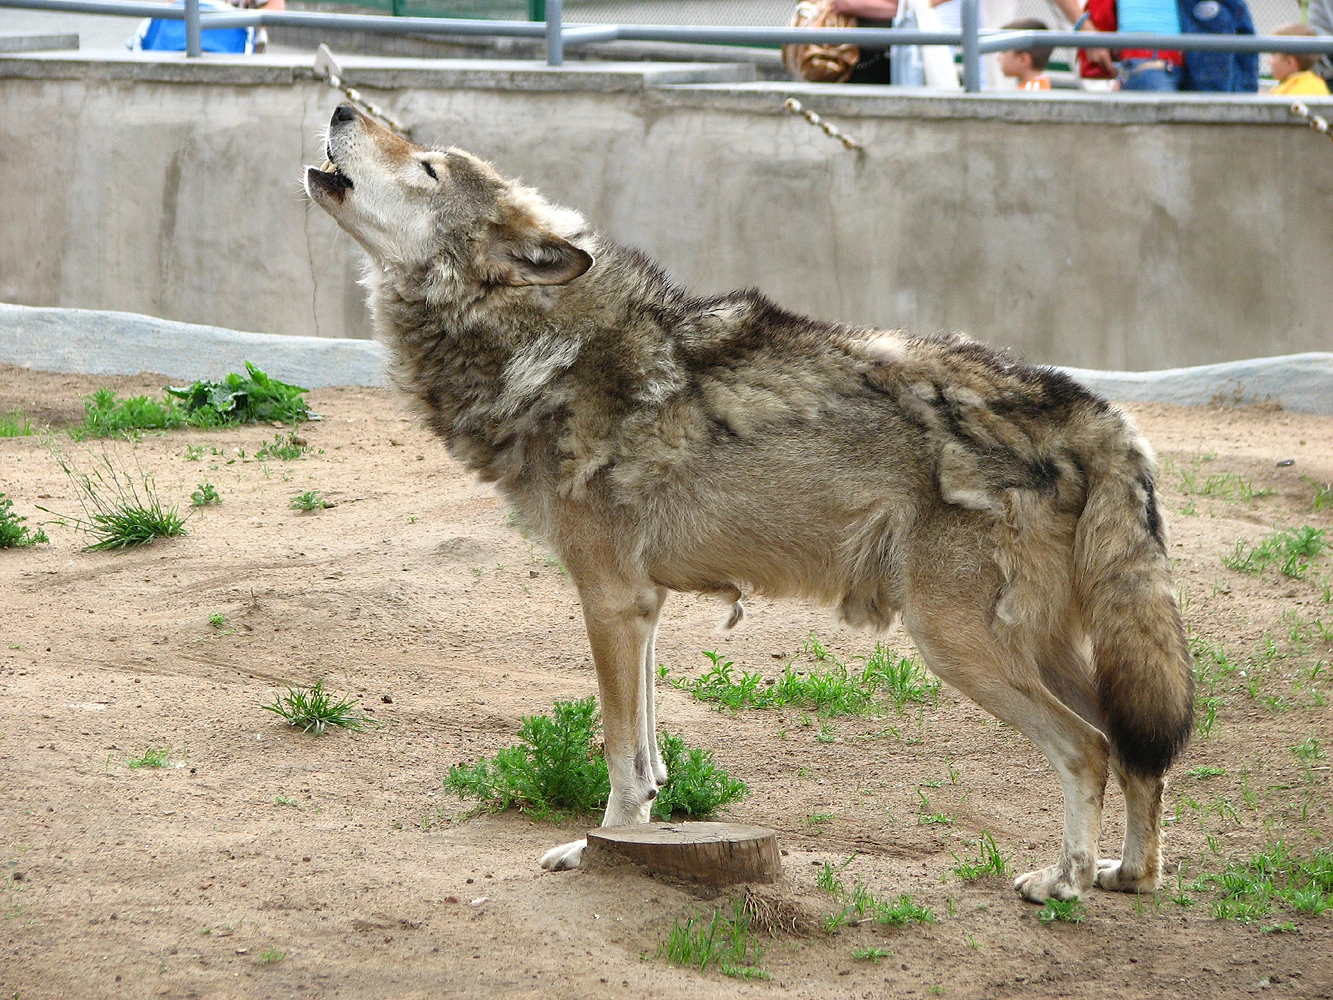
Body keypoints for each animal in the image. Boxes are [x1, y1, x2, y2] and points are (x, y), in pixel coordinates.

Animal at [305, 104, 1194, 903]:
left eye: (426, 166)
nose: (342, 105)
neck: (545, 347)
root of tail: (1096, 411)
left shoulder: (610, 598)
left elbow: (618, 757)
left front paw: (599, 854)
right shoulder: (643, 606)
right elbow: (650, 757)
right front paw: (622, 843)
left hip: (955, 645)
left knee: (1087, 749)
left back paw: (1063, 881)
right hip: (1046, 648)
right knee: (1136, 750)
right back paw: (1127, 875)